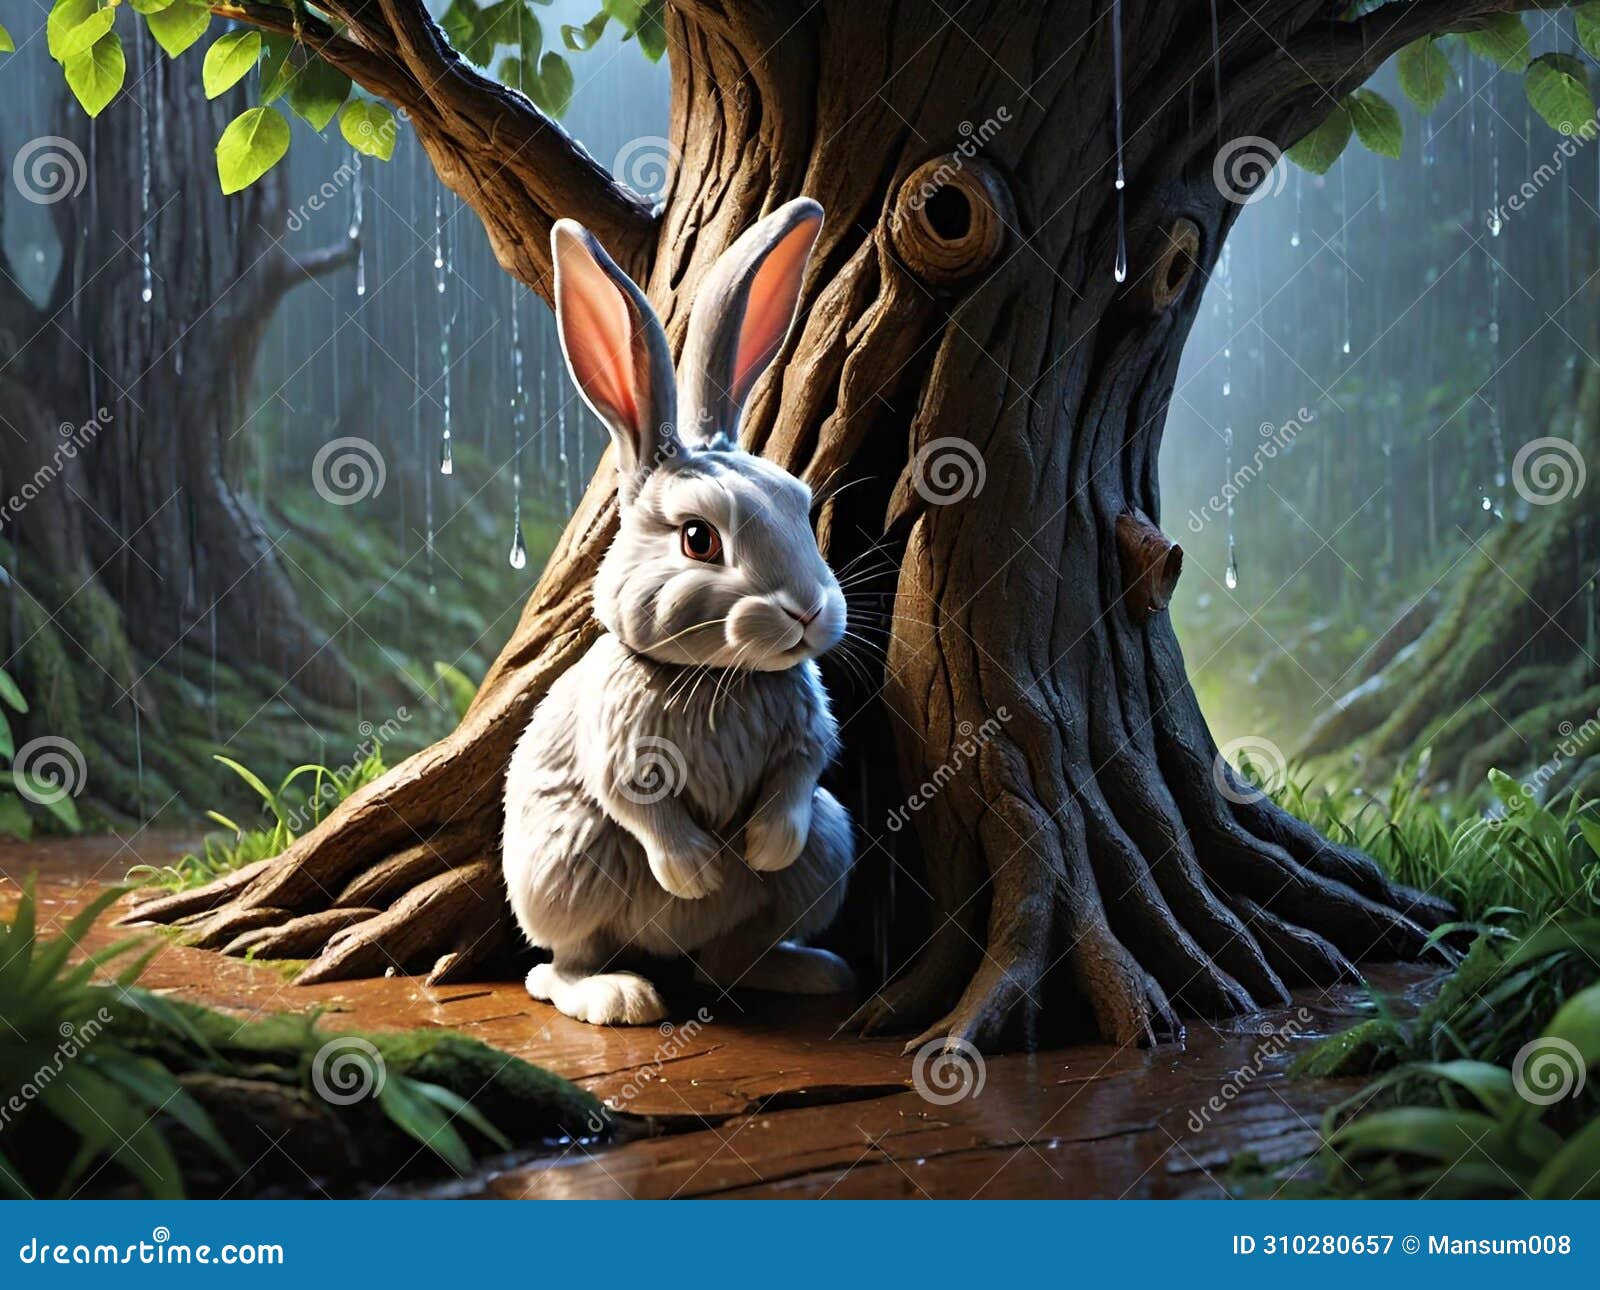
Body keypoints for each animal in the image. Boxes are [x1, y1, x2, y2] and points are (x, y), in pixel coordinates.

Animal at [501, 197, 857, 1026]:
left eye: (801, 508)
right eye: (698, 538)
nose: (807, 613)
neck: (718, 676)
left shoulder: (805, 732)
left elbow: (801, 769)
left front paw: (761, 847)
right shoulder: (621, 740)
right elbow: (637, 799)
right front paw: (697, 871)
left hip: (831, 843)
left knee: (737, 951)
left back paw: (808, 970)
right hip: (566, 859)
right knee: (554, 967)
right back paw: (620, 994)